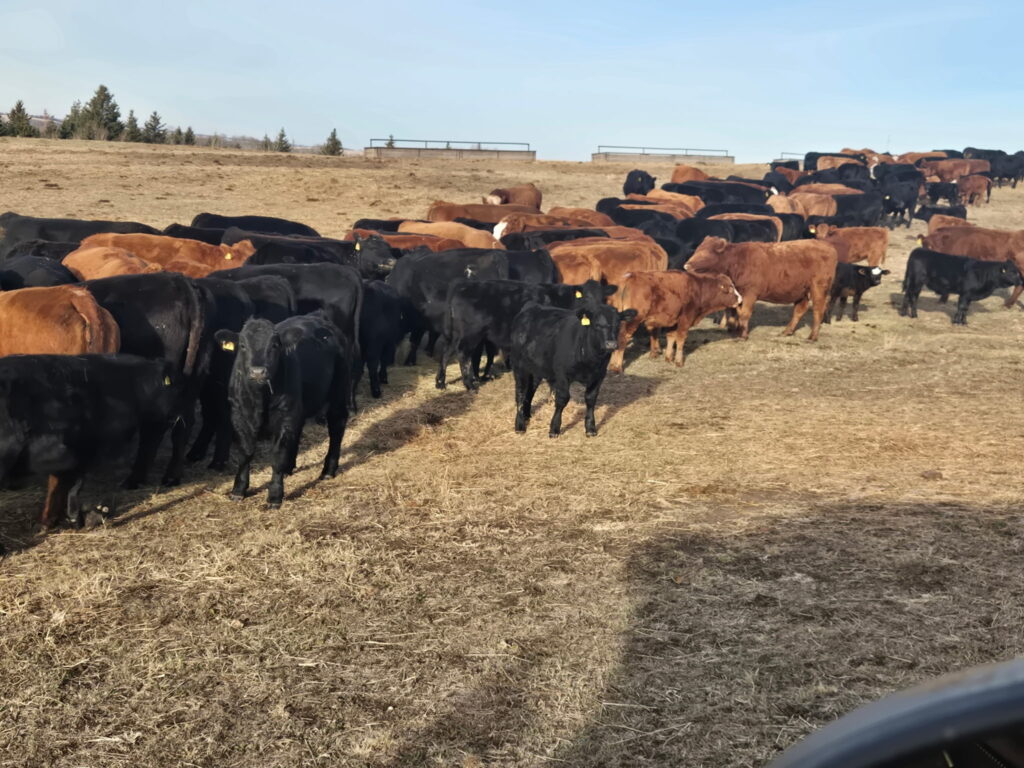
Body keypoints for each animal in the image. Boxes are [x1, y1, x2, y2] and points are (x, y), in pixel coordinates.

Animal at [215, 312, 350, 508]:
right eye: (242, 345)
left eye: (274, 345)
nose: (258, 372)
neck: (260, 397)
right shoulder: (239, 416)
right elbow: (245, 453)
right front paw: (238, 490)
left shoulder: (284, 416)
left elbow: (277, 456)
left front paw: (275, 496)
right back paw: (289, 468)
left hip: (338, 391)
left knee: (337, 426)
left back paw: (328, 471)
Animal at [437, 278, 611, 390]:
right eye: (586, 297)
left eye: (603, 298)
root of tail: (462, 285)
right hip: (471, 334)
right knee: (462, 354)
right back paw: (469, 385)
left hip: (456, 333)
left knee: (446, 352)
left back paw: (441, 382)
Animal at [510, 302, 636, 437]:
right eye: (597, 325)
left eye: (618, 325)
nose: (611, 344)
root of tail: (532, 306)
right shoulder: (562, 375)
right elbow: (562, 399)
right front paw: (554, 429)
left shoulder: (599, 375)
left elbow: (591, 399)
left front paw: (590, 428)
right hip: (519, 366)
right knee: (520, 393)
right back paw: (520, 425)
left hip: (537, 369)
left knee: (530, 391)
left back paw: (527, 415)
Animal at [608, 270, 742, 371]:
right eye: (730, 289)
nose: (740, 299)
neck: (698, 289)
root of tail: (629, 277)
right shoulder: (685, 320)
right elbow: (681, 340)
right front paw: (678, 361)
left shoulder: (673, 321)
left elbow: (671, 337)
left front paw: (668, 357)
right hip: (632, 320)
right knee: (622, 338)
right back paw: (617, 366)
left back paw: (611, 364)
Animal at [686, 237, 837, 341]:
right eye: (696, 250)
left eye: (705, 253)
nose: (686, 265)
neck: (738, 261)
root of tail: (827, 246)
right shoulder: (738, 294)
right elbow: (735, 313)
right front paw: (735, 329)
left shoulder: (750, 294)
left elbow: (744, 313)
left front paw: (743, 335)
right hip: (802, 291)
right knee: (799, 310)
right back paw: (787, 331)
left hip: (818, 287)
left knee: (818, 310)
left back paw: (812, 336)